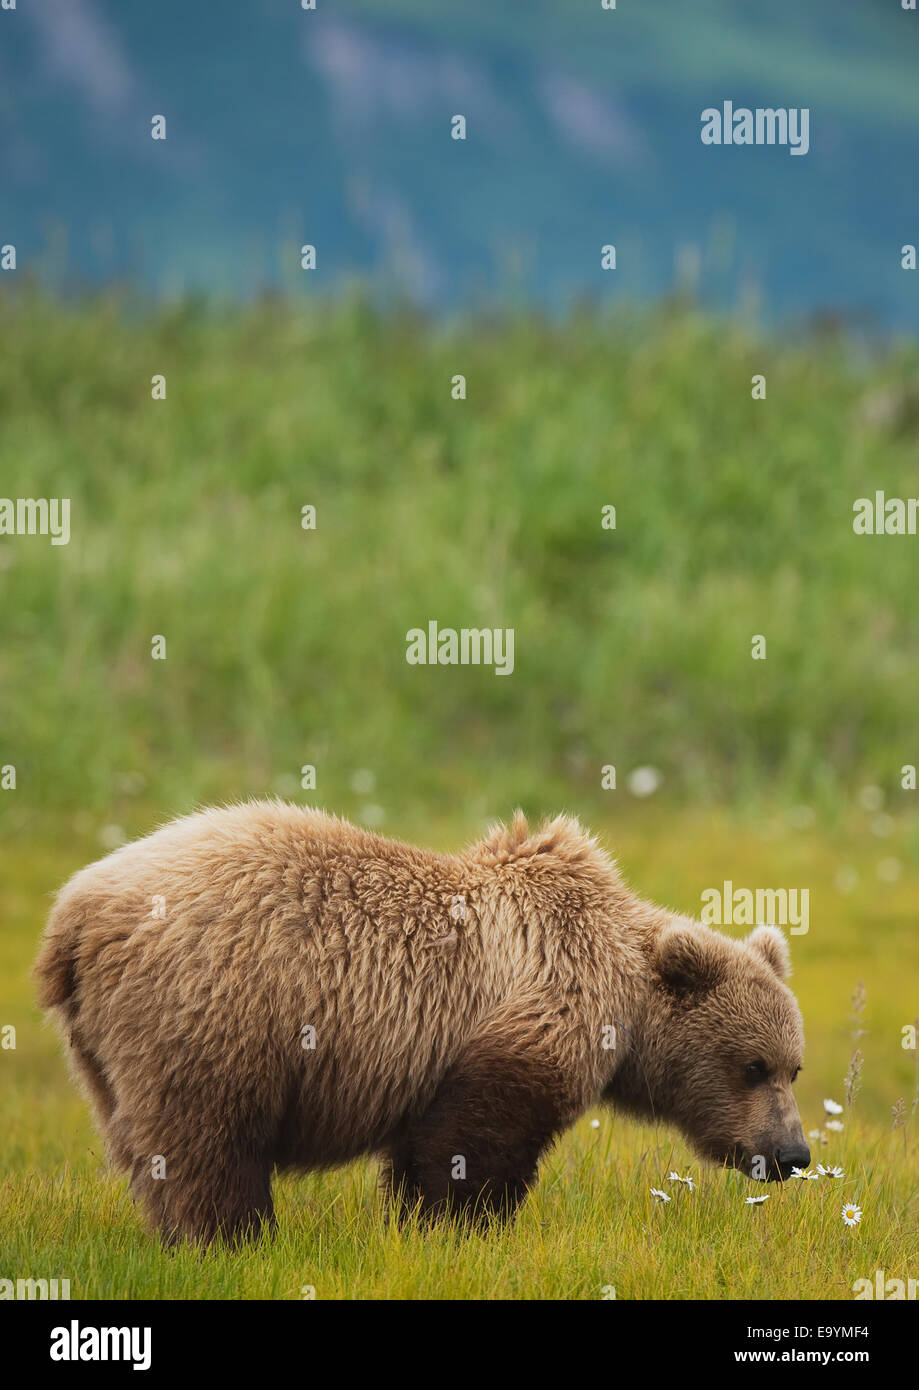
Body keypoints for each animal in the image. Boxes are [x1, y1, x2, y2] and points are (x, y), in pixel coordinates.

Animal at [34, 802, 809, 1245]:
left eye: (793, 1066)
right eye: (753, 1066)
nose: (792, 1154)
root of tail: (74, 911)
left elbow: (424, 1147)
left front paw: (414, 1226)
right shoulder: (530, 1013)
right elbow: (475, 1143)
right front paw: (465, 1230)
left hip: (101, 1049)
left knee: (144, 1141)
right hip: (218, 1006)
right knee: (208, 1137)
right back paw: (233, 1238)